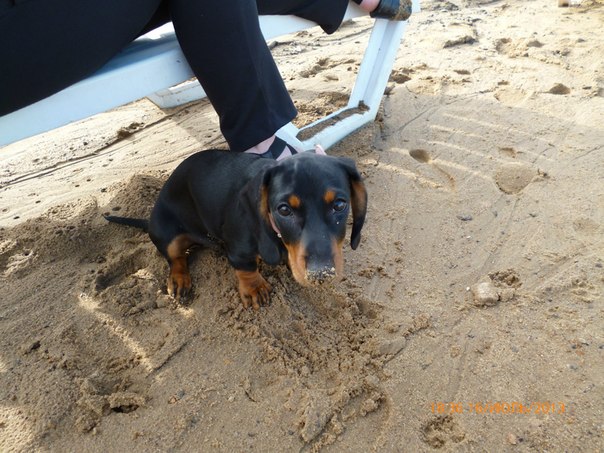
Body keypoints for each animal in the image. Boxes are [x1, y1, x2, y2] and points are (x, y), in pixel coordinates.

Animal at [105, 149, 367, 309]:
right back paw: (179, 279)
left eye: (340, 204)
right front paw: (255, 288)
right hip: (166, 233)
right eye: (283, 210)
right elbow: (246, 268)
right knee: (175, 258)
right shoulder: (239, 251)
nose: (321, 274)